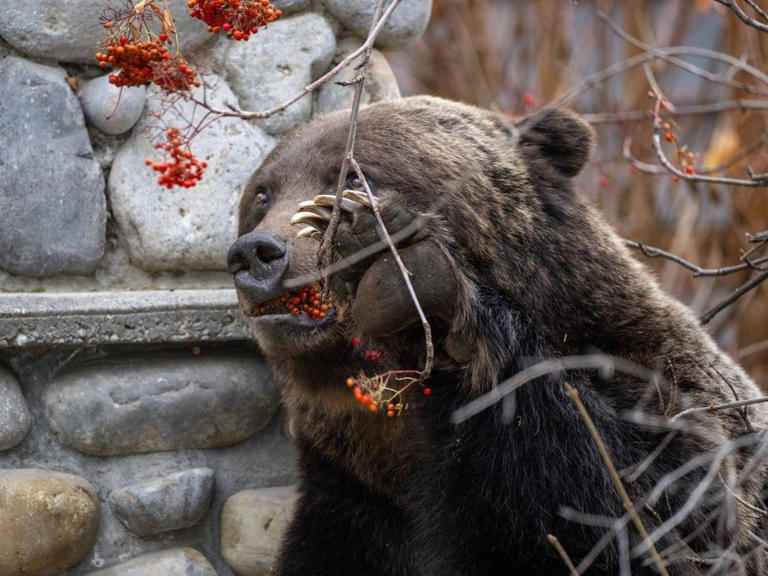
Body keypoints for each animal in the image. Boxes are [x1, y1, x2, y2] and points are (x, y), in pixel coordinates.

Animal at [227, 95, 768, 575]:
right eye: (261, 194)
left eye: (353, 174)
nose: (257, 253)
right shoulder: (355, 512)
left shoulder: (674, 390)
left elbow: (652, 498)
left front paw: (390, 260)